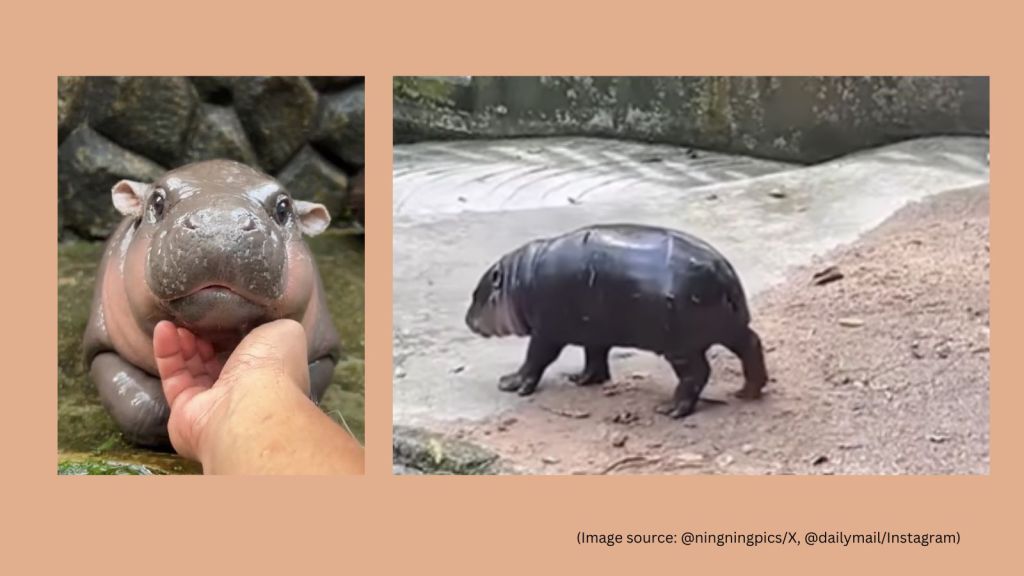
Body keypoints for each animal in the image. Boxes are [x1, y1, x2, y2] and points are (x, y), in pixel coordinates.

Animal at [83, 159, 341, 448]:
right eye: (157, 201)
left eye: (284, 208)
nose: (221, 225)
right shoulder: (101, 347)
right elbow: (140, 407)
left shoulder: (325, 353)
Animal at [465, 224, 767, 419]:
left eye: (475, 294)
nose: (467, 320)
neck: (518, 281)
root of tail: (722, 270)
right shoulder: (594, 329)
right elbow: (595, 356)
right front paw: (581, 379)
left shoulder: (546, 332)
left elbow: (535, 359)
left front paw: (510, 384)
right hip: (732, 327)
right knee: (751, 345)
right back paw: (747, 392)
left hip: (681, 347)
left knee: (697, 373)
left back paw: (670, 410)